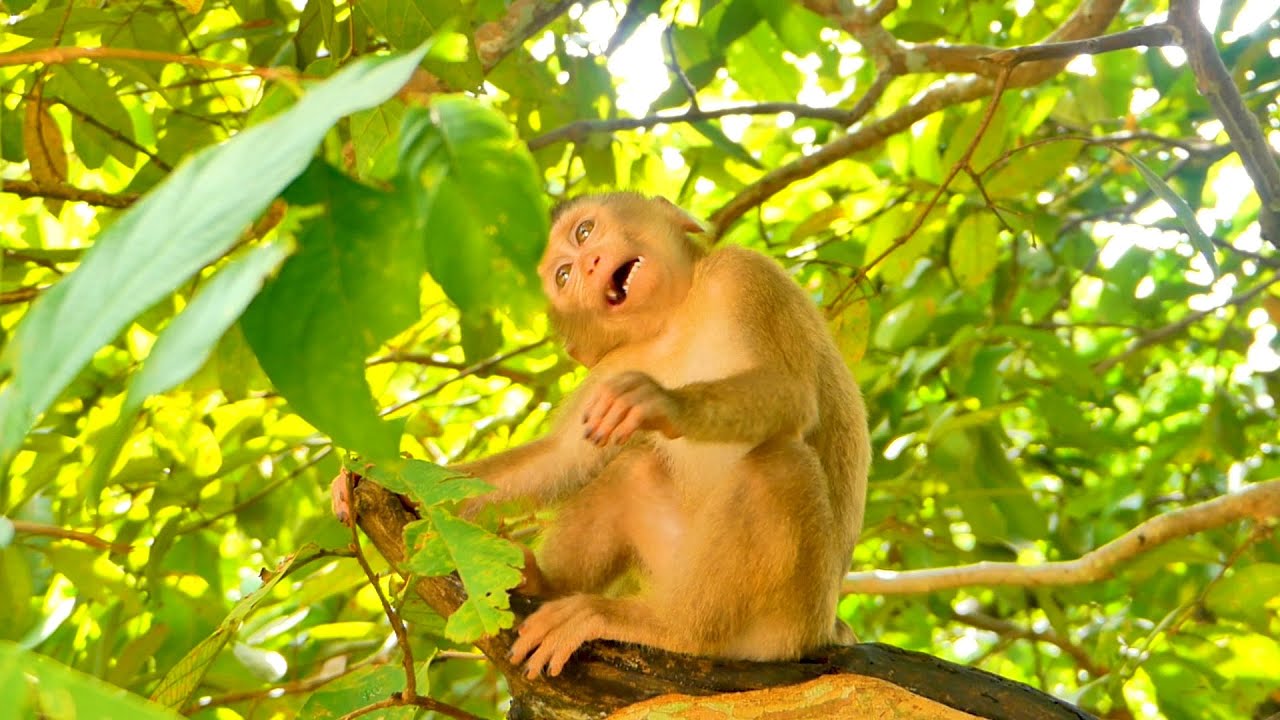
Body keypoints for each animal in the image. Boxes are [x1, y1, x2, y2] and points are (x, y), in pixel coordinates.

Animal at [453, 192, 870, 680]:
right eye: (564, 275)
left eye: (584, 232)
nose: (591, 264)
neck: (674, 320)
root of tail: (825, 630)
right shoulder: (613, 364)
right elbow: (561, 457)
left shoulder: (747, 275)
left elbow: (793, 395)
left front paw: (664, 402)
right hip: (677, 565)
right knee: (633, 467)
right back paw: (547, 584)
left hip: (784, 622)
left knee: (780, 465)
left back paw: (674, 628)